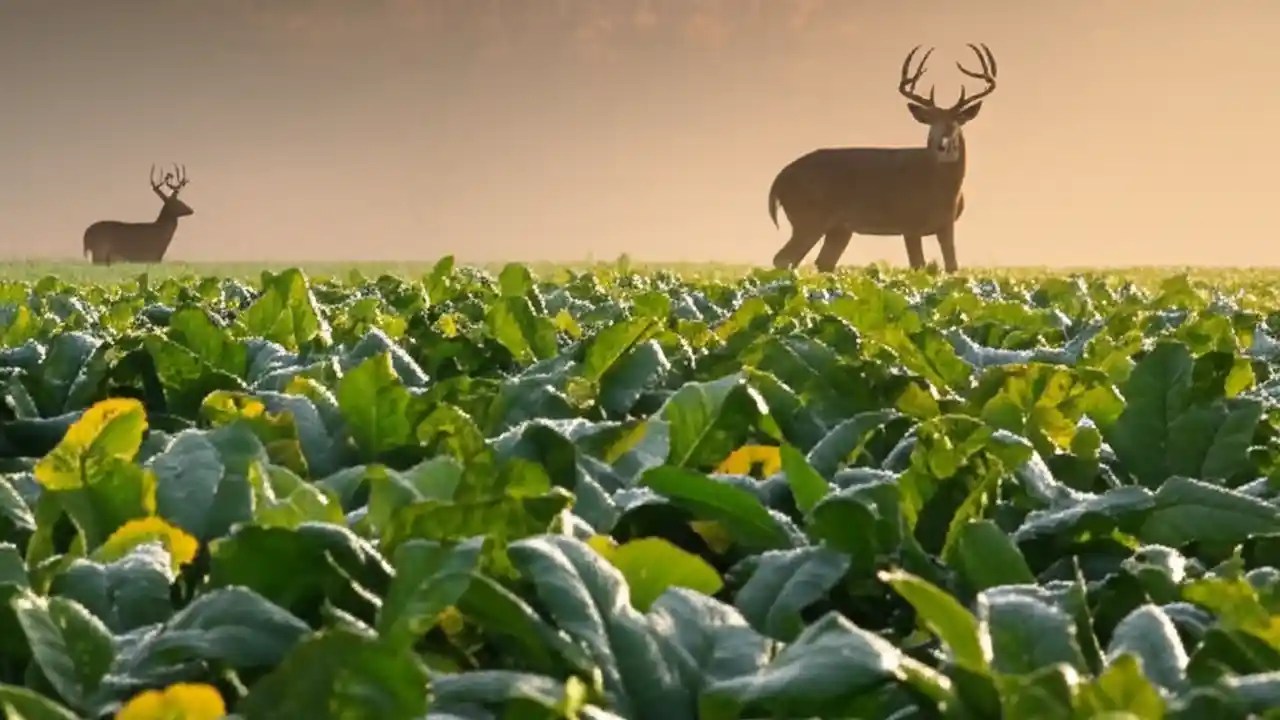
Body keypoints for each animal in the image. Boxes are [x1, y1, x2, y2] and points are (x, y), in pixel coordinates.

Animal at [767, 43, 998, 274]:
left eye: (957, 123)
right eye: (932, 124)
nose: (944, 145)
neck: (943, 191)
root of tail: (779, 180)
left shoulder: (947, 225)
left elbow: (952, 266)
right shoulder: (909, 224)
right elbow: (918, 266)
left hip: (838, 228)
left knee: (822, 262)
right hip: (809, 218)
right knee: (783, 259)